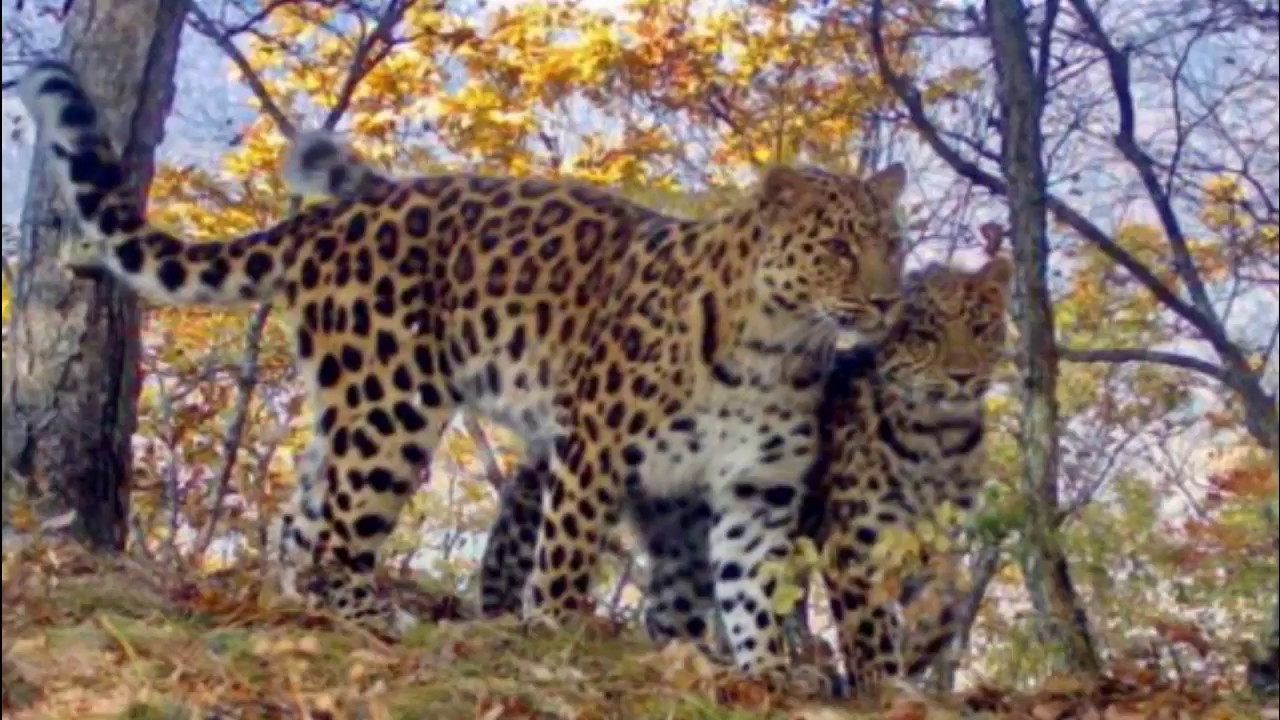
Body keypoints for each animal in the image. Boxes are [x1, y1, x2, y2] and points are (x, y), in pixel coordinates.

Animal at [17, 60, 909, 679]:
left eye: (892, 243)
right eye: (837, 247)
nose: (887, 299)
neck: (777, 349)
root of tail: (332, 219)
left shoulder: (757, 490)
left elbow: (753, 588)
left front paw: (765, 674)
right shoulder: (593, 446)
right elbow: (565, 555)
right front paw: (552, 636)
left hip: (346, 402)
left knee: (298, 519)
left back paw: (287, 608)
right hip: (391, 404)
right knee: (338, 537)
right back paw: (378, 621)